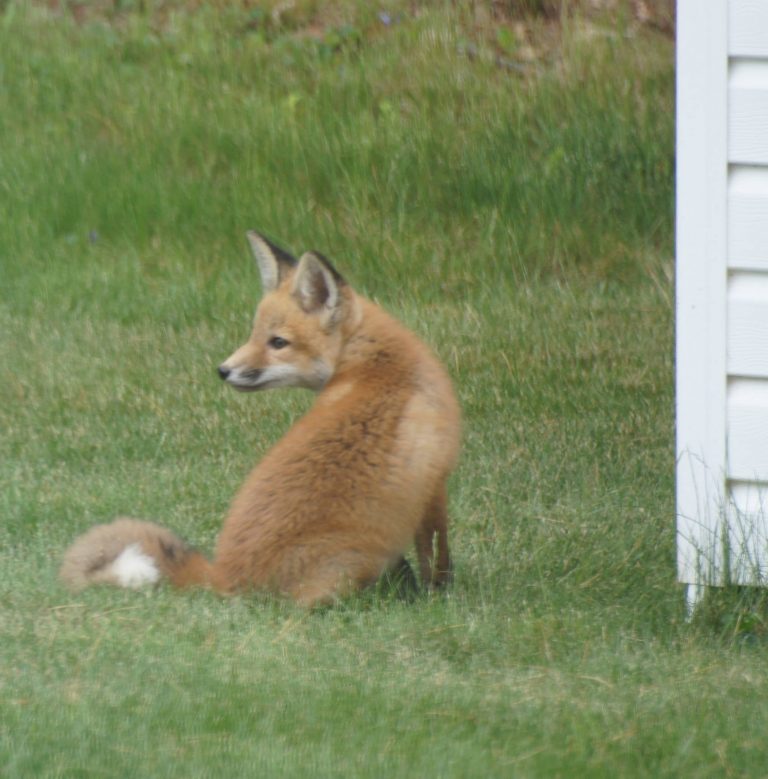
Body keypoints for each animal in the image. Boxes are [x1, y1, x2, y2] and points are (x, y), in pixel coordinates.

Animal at [60, 232, 461, 606]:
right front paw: (438, 595)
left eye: (278, 342)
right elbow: (436, 553)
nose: (223, 370)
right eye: (255, 335)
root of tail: (223, 575)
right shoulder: (433, 482)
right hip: (353, 564)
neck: (370, 361)